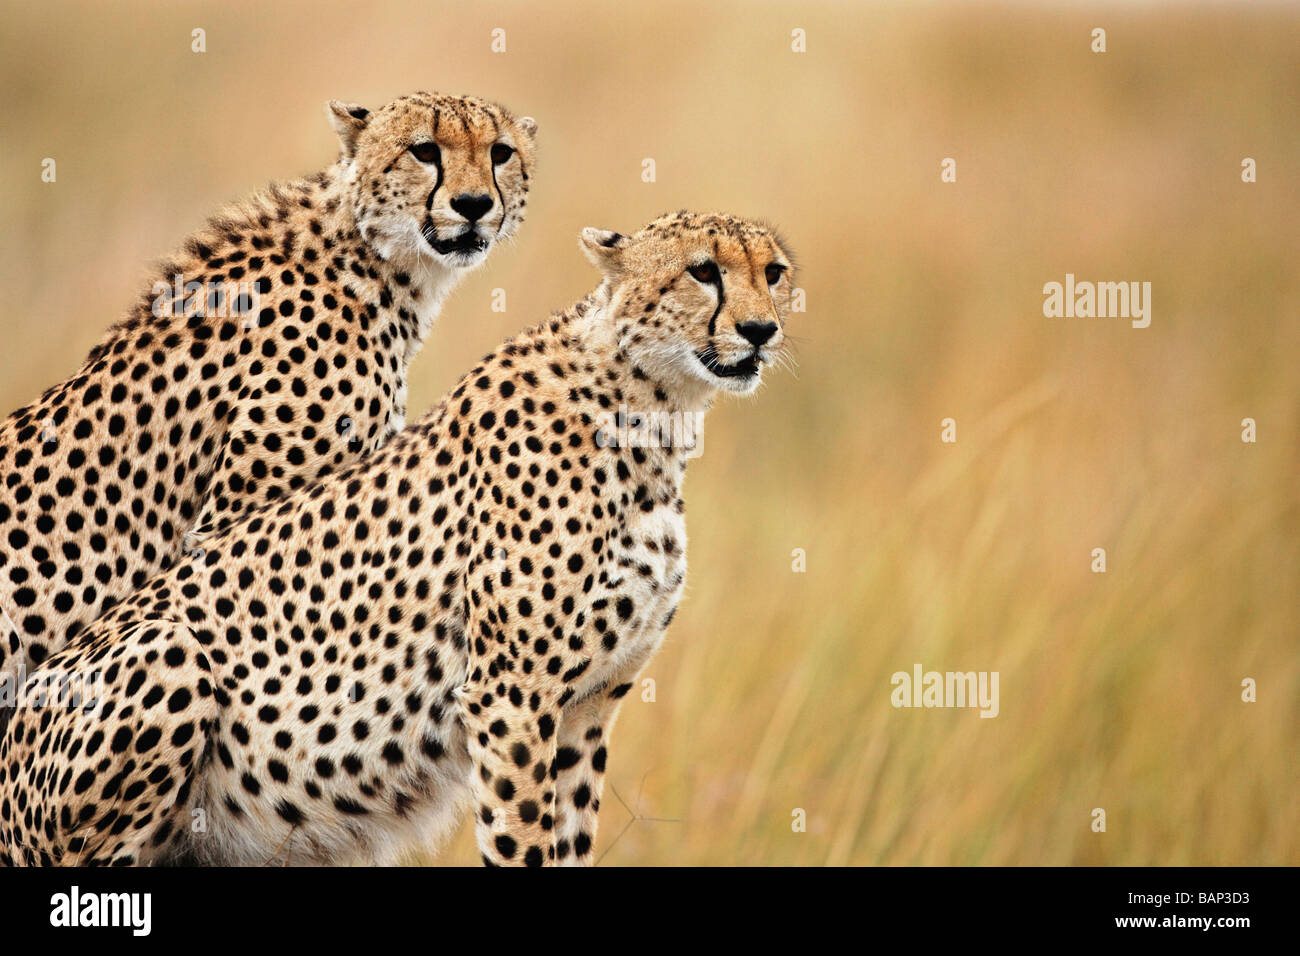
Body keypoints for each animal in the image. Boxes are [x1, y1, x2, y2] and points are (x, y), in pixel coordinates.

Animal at [0, 211, 794, 867]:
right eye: (703, 270)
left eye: (774, 272)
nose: (762, 331)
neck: (653, 415)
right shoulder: (512, 696)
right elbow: (523, 840)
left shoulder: (586, 708)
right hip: (166, 658)